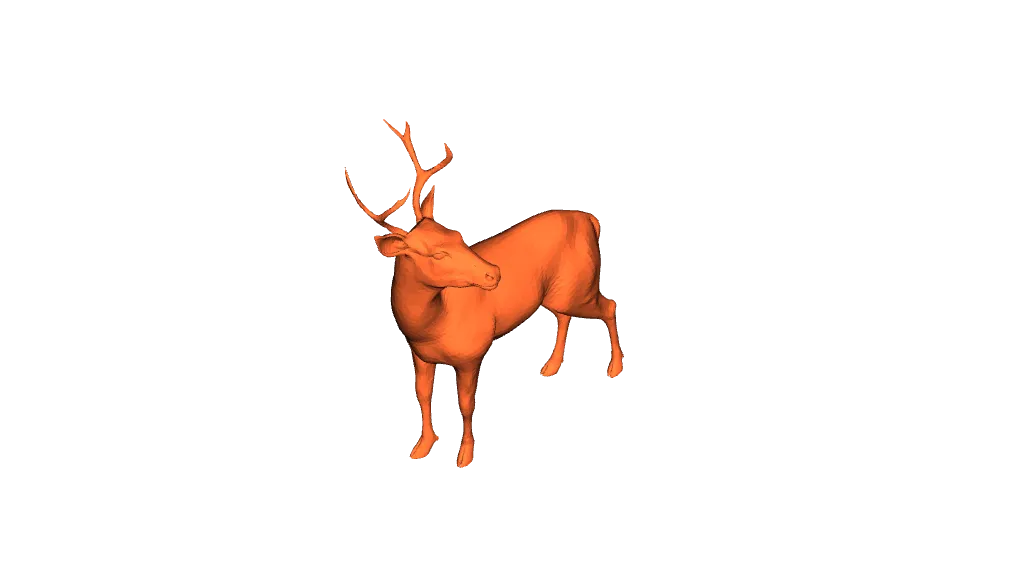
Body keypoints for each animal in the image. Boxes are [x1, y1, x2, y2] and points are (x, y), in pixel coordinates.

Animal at [344, 119, 624, 468]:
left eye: (457, 236)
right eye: (437, 254)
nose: (495, 273)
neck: (432, 325)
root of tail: (590, 218)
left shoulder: (471, 353)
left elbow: (466, 405)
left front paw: (464, 455)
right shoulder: (419, 354)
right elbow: (422, 394)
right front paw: (422, 446)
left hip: (581, 284)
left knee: (608, 305)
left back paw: (614, 368)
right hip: (560, 291)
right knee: (564, 315)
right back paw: (550, 366)